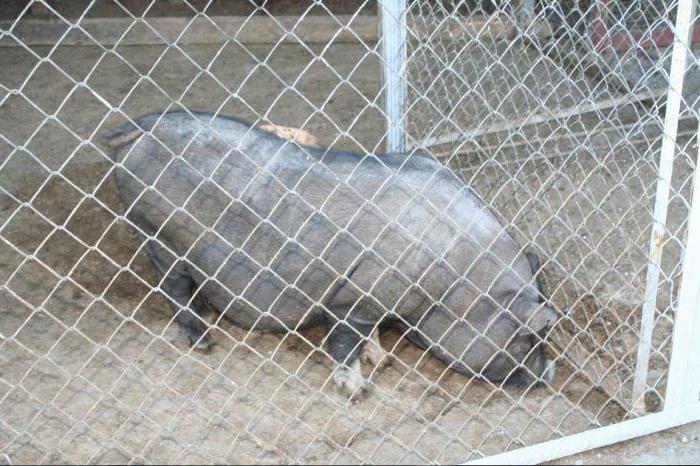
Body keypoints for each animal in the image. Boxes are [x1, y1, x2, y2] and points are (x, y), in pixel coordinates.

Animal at [106, 112, 556, 396]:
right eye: (530, 336)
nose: (549, 373)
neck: (457, 283)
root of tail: (141, 126)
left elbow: (370, 337)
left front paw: (384, 361)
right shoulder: (352, 299)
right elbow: (344, 341)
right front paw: (360, 390)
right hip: (155, 231)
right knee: (174, 286)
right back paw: (203, 341)